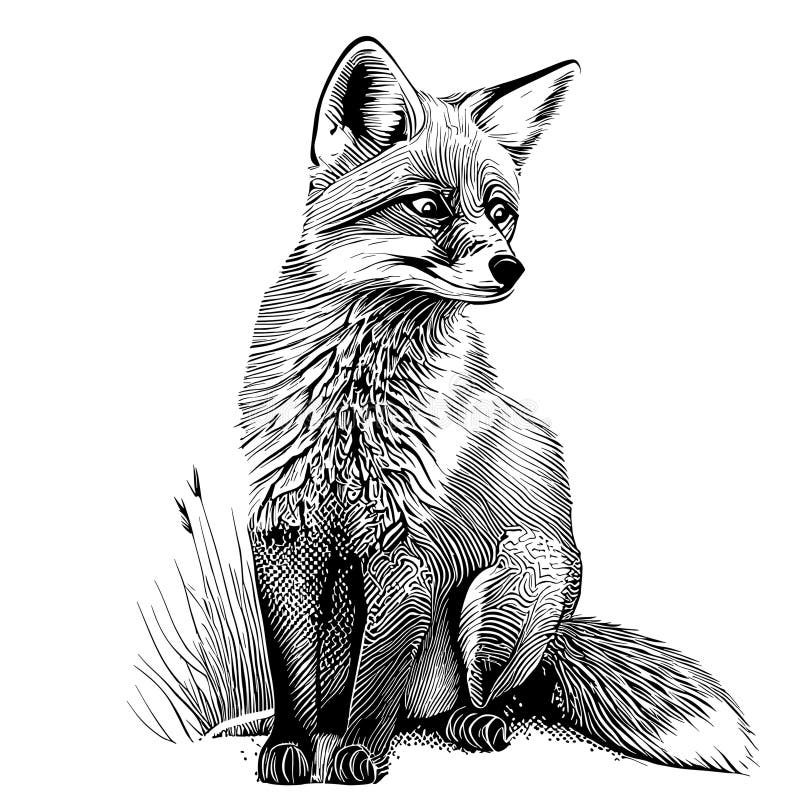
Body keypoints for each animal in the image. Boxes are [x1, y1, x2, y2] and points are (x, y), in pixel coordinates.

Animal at [239, 36, 755, 784]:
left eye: (500, 211)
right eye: (428, 206)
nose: (511, 268)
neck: (355, 408)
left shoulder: (410, 553)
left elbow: (375, 682)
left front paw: (359, 753)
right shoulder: (285, 538)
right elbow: (292, 679)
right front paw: (292, 748)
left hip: (512, 585)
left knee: (499, 693)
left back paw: (474, 722)